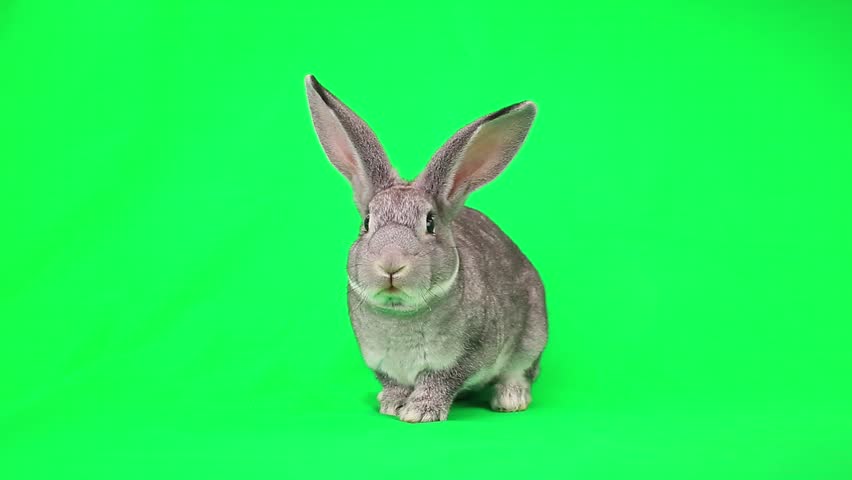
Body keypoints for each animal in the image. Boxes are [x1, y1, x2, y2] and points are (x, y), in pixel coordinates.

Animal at [305, 75, 548, 423]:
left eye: (430, 223)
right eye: (367, 222)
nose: (391, 264)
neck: (400, 313)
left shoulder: (462, 358)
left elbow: (438, 382)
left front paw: (418, 412)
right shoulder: (382, 364)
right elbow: (394, 384)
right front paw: (392, 405)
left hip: (532, 337)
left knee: (519, 373)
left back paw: (510, 399)